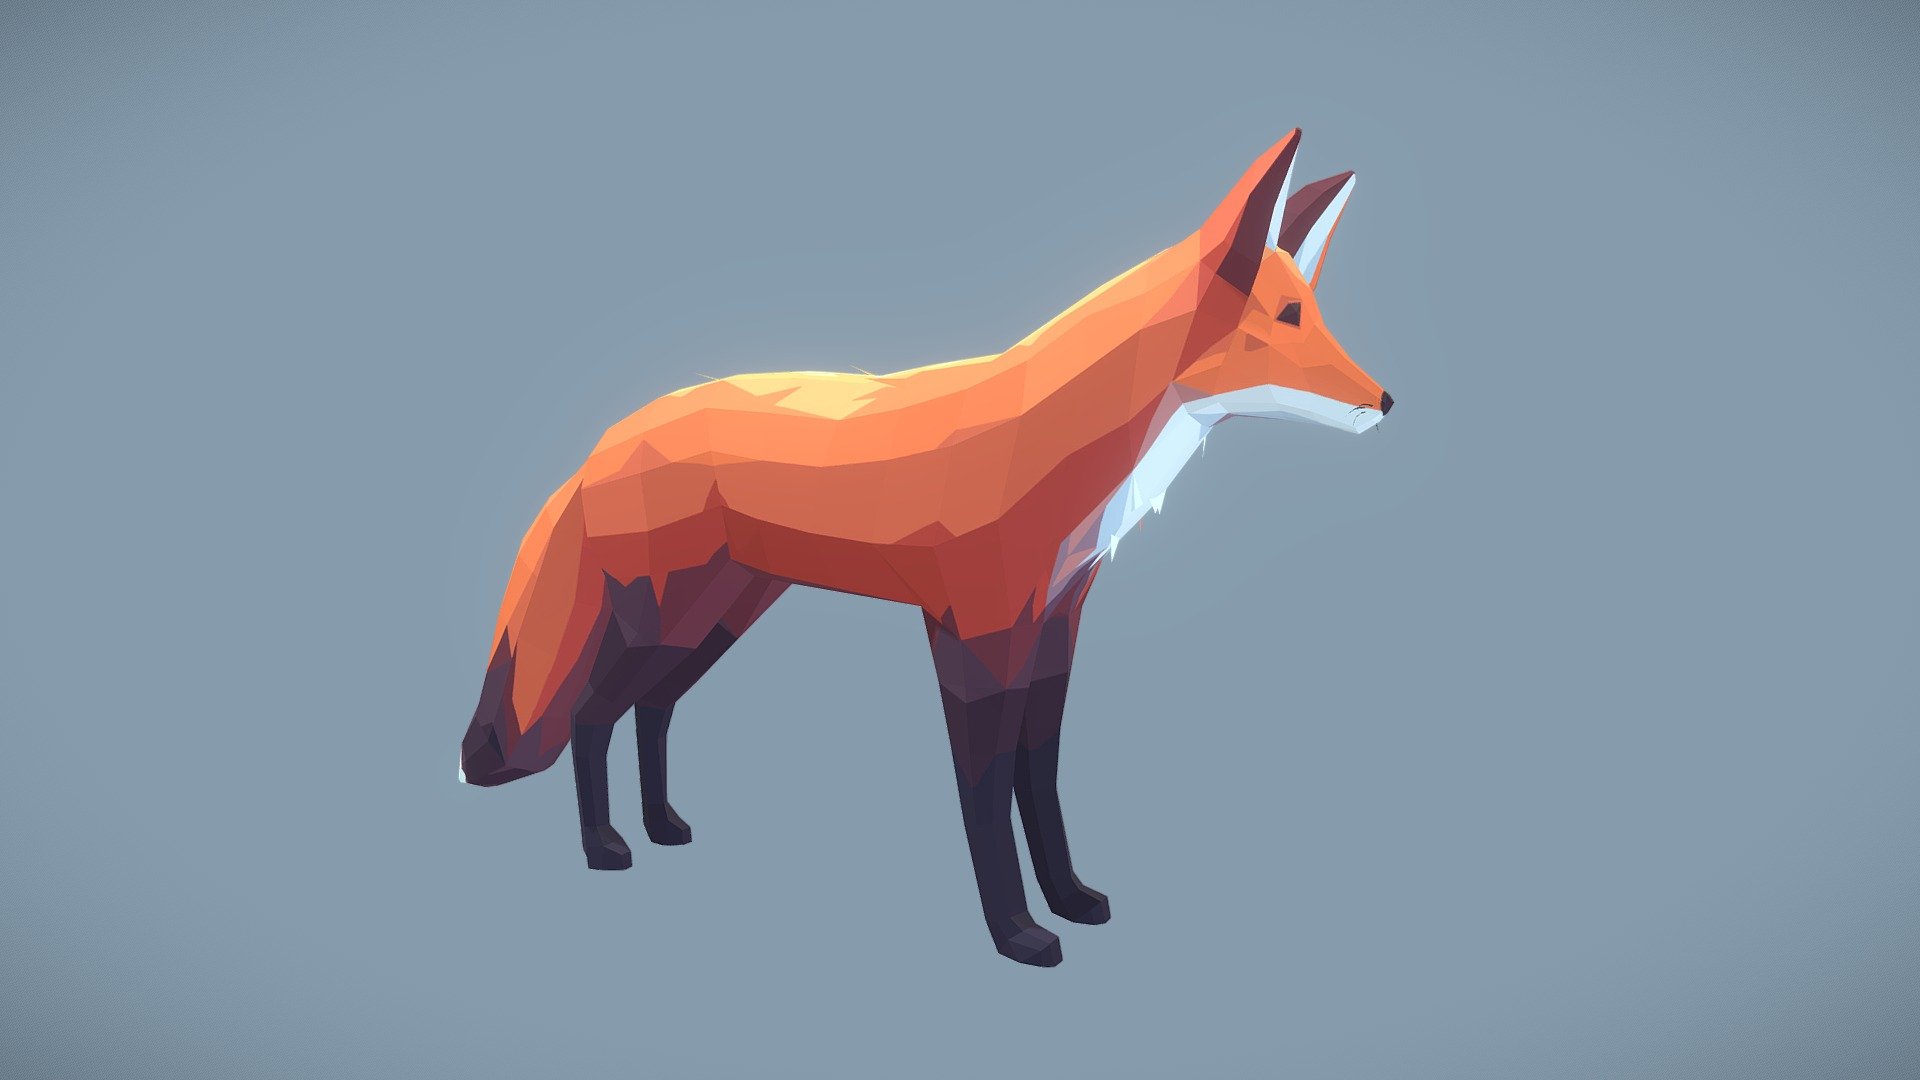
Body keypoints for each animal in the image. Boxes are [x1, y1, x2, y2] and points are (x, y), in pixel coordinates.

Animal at [459, 128, 1393, 967]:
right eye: (1290, 317)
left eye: (1316, 312)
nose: (1386, 401)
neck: (1060, 445)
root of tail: (607, 438)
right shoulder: (972, 638)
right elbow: (986, 801)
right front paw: (1017, 936)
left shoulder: (1052, 633)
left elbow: (1040, 785)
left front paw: (1070, 898)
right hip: (666, 622)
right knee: (591, 715)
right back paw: (604, 846)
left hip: (715, 620)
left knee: (651, 711)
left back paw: (659, 827)